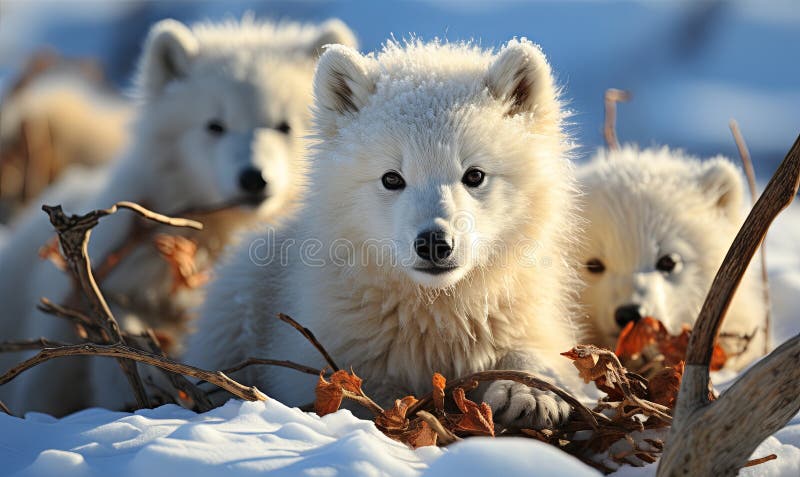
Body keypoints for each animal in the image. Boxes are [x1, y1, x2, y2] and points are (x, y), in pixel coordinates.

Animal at [185, 38, 584, 430]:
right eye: (392, 178)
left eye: (474, 175)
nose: (434, 243)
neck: (434, 312)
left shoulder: (517, 309)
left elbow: (538, 348)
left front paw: (529, 393)